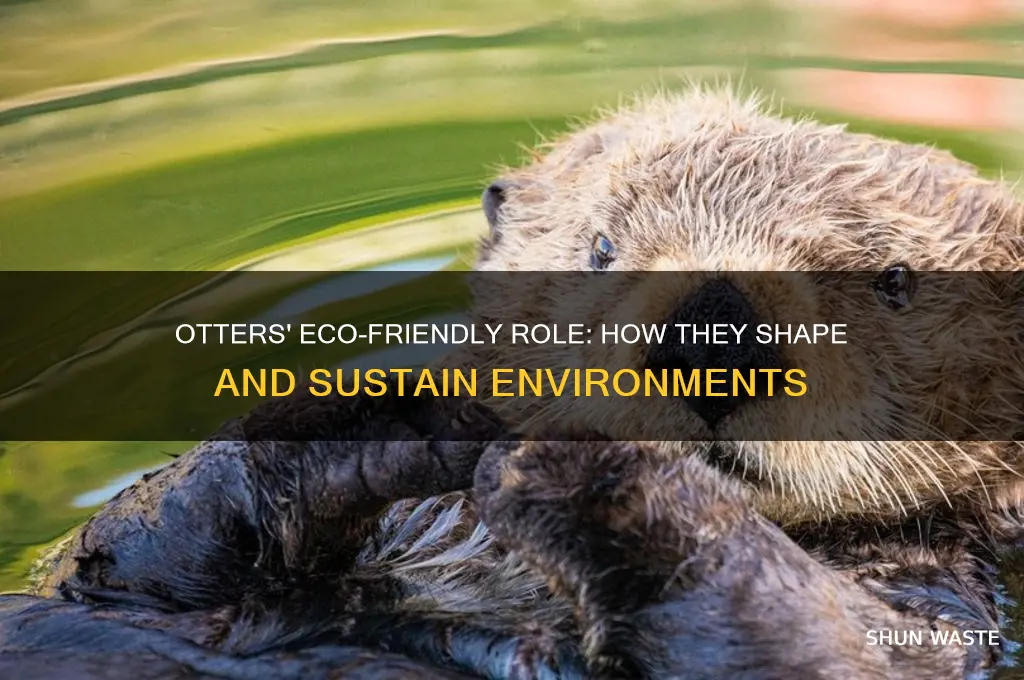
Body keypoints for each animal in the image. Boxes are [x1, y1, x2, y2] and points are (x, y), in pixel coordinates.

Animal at [3, 87, 1023, 679]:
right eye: (602, 246)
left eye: (893, 280)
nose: (715, 331)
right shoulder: (135, 588)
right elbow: (124, 563)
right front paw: (387, 418)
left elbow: (831, 650)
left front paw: (593, 473)